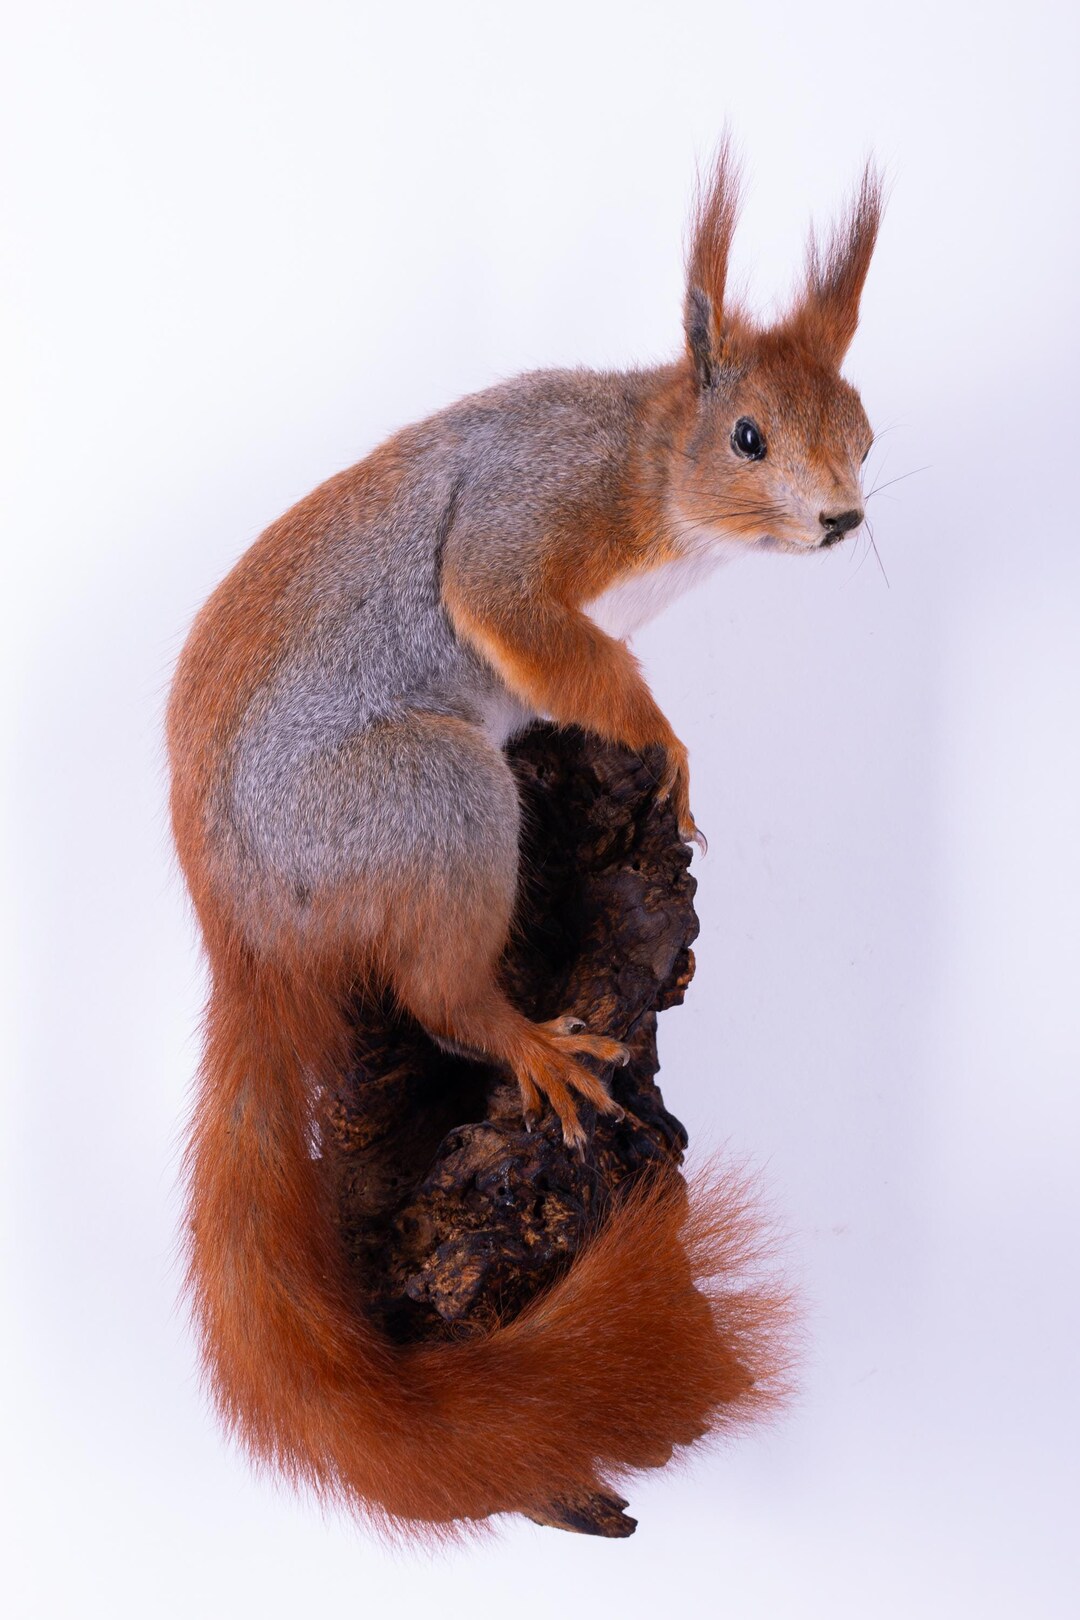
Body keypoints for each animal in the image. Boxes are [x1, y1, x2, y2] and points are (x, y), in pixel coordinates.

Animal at [167, 145, 882, 1537]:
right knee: (439, 988)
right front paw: (665, 738)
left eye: (864, 421)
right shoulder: (530, 517)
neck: (651, 461)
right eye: (749, 437)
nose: (841, 519)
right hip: (425, 798)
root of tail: (245, 926)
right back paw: (532, 1047)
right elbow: (519, 611)